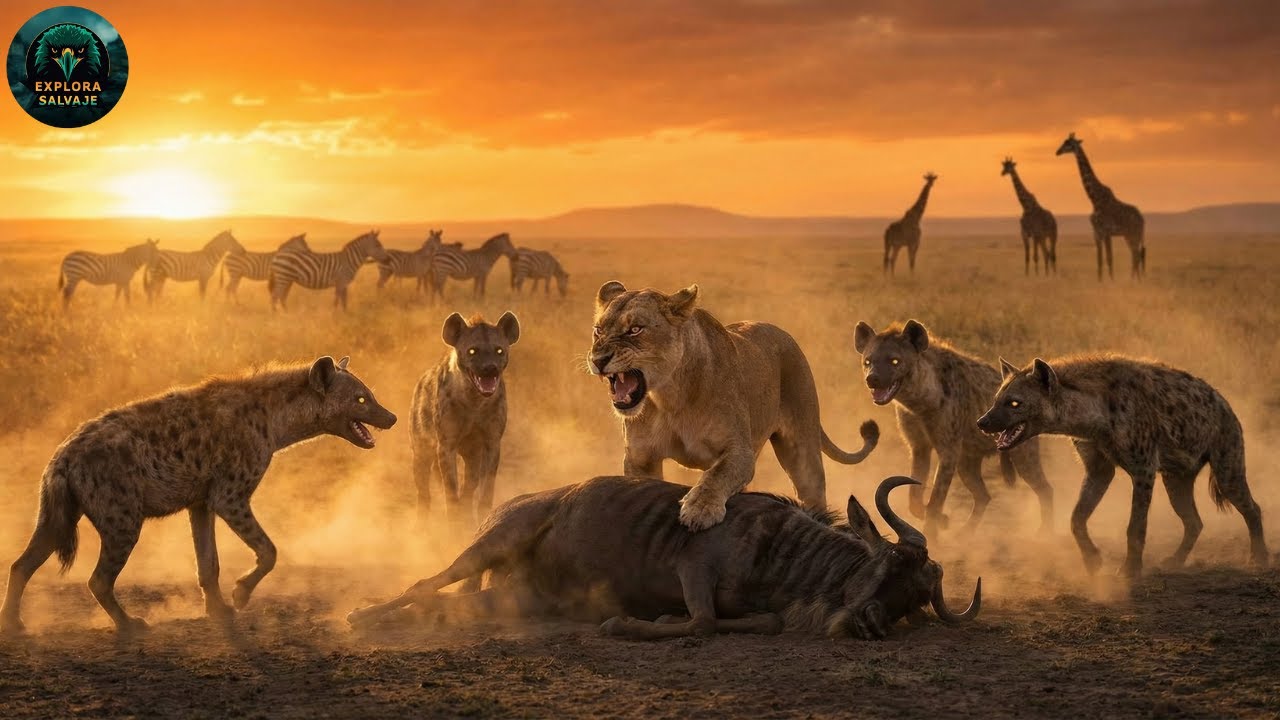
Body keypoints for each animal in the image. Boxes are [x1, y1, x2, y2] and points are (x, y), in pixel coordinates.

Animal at [588, 281, 880, 530]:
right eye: (598, 330)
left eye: (635, 329)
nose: (598, 359)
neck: (670, 398)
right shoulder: (641, 457)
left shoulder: (741, 451)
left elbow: (717, 475)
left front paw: (700, 508)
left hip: (803, 451)